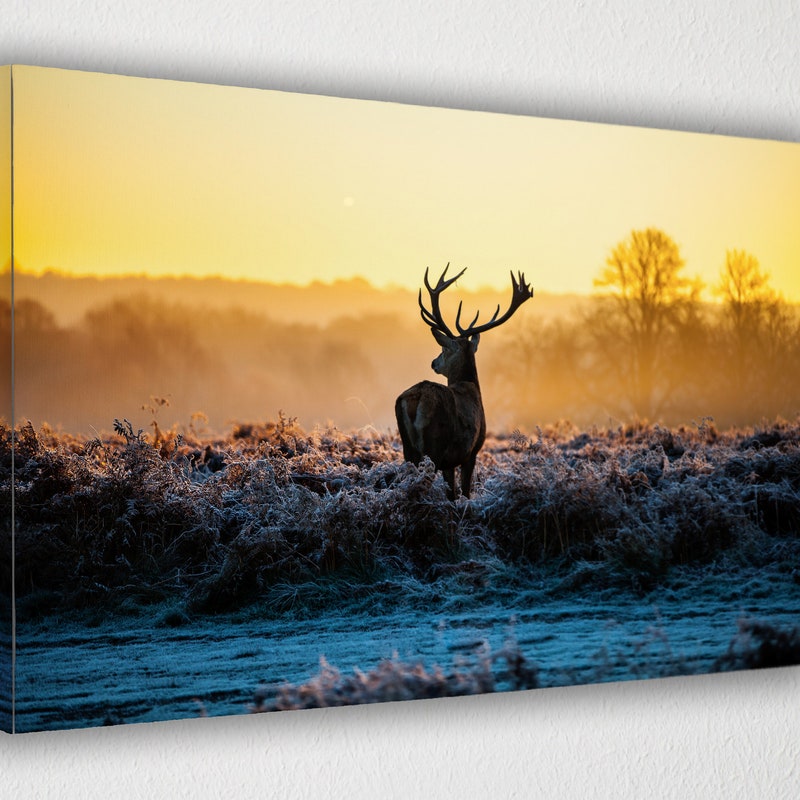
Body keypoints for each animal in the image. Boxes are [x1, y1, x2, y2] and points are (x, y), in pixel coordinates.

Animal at [395, 264, 533, 500]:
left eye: (443, 350)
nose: (433, 362)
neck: (471, 386)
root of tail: (416, 398)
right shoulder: (471, 450)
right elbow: (465, 492)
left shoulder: (451, 461)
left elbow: (452, 492)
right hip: (434, 446)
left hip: (409, 449)